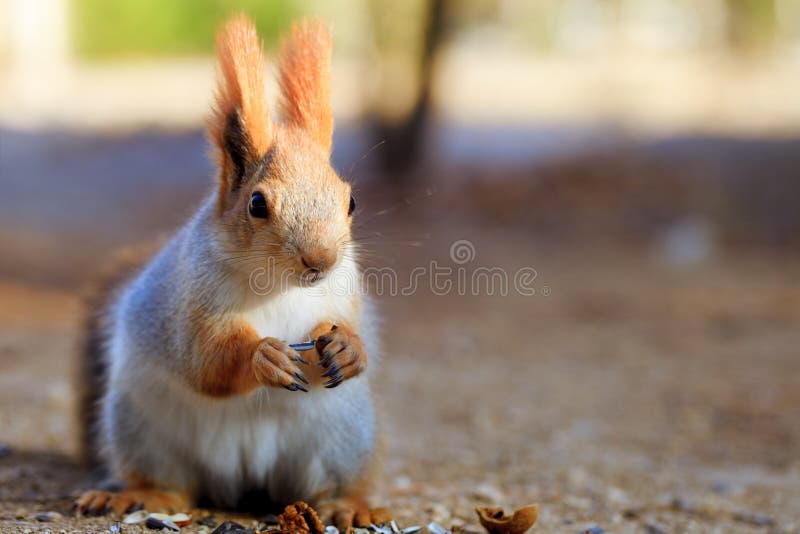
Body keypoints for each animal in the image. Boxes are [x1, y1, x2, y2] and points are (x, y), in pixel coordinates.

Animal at [74, 15, 385, 529]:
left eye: (351, 201)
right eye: (257, 204)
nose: (320, 260)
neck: (280, 286)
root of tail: (244, 479)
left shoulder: (344, 294)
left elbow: (352, 330)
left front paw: (349, 348)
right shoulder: (191, 301)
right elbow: (205, 359)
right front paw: (264, 357)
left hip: (344, 436)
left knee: (329, 485)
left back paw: (350, 505)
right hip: (141, 426)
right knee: (168, 483)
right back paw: (139, 496)